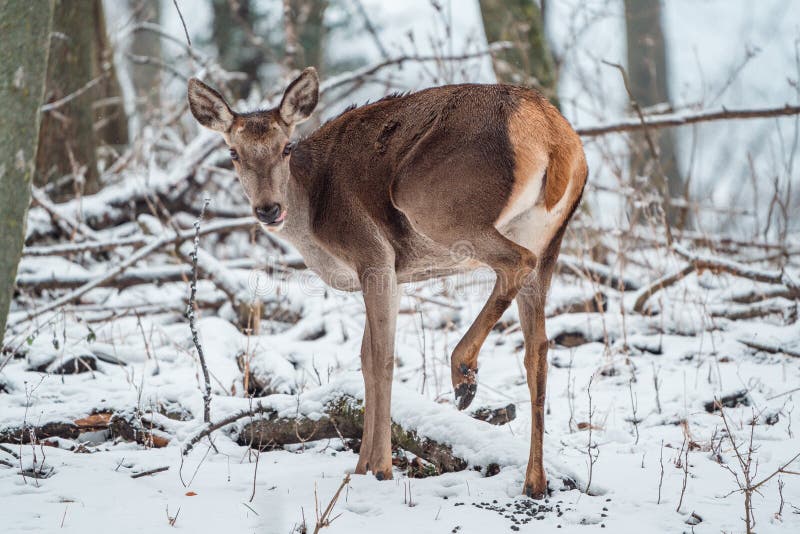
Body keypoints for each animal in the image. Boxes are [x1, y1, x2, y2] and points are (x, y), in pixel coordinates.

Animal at [187, 67, 587, 498]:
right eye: (233, 153)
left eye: (286, 147)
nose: (268, 209)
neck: (313, 219)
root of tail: (552, 136)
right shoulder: (394, 274)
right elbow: (365, 358)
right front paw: (361, 465)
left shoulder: (374, 255)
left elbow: (381, 358)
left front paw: (379, 467)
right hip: (548, 234)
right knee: (538, 348)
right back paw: (535, 480)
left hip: (435, 202)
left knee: (516, 263)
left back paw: (463, 374)